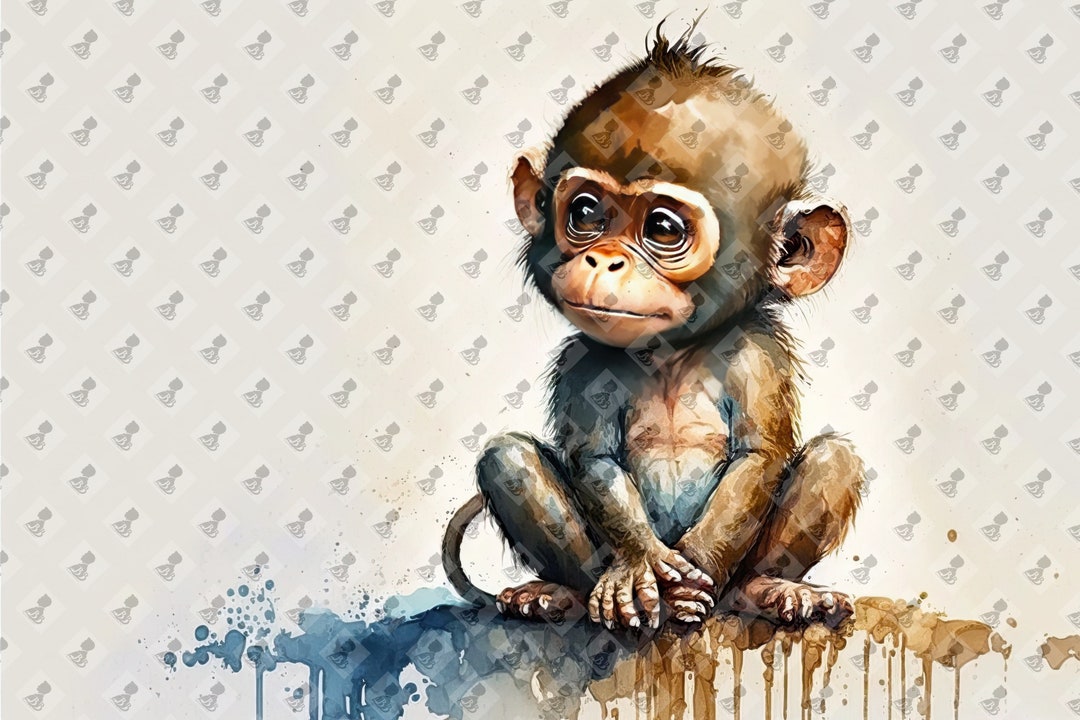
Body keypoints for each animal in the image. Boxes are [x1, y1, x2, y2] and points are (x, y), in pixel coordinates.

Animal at [442, 23, 864, 631]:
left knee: (836, 459)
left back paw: (767, 589)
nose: (605, 260)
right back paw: (560, 595)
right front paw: (640, 565)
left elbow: (757, 458)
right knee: (509, 459)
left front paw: (694, 573)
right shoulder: (581, 362)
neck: (671, 355)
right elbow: (594, 460)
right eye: (586, 214)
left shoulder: (758, 355)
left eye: (662, 228)